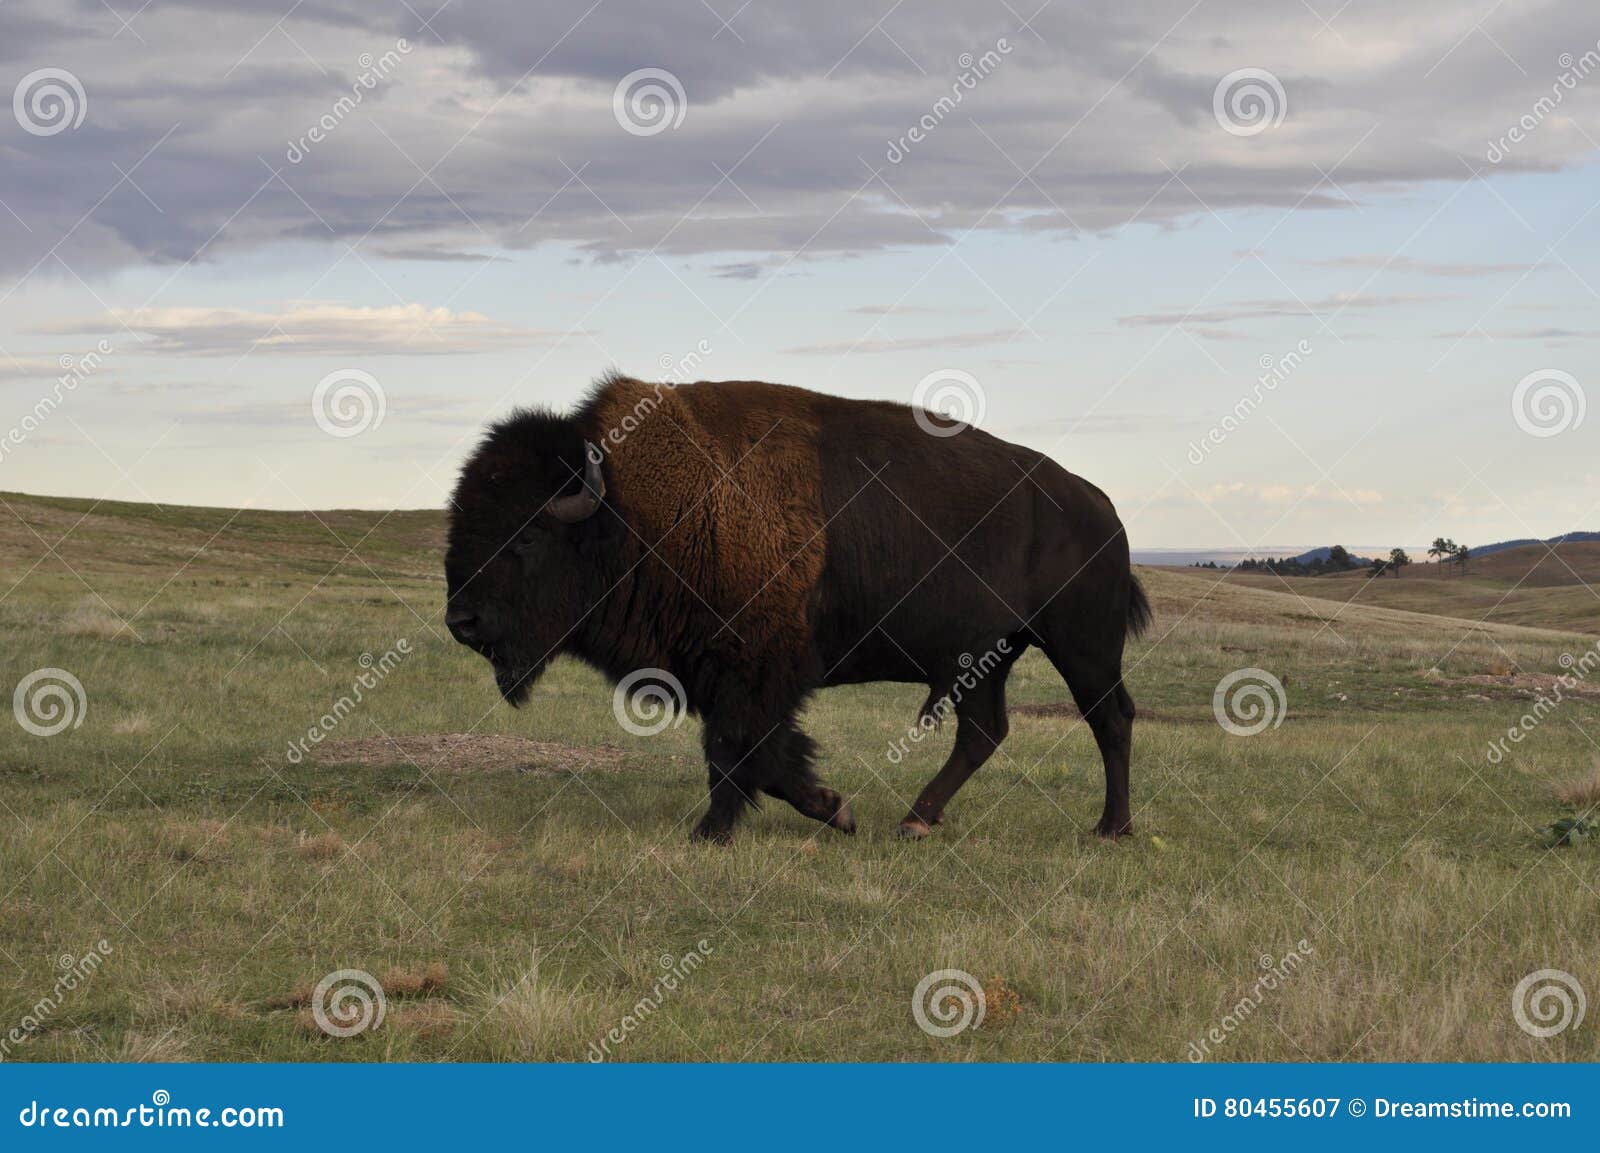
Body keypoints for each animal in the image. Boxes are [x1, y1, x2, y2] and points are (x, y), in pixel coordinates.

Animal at [445, 374, 1149, 843]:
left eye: (527, 535)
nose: (461, 622)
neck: (629, 511)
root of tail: (1101, 509)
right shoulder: (728, 676)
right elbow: (765, 756)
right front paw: (836, 809)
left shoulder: (753, 670)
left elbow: (739, 751)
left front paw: (716, 831)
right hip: (987, 657)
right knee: (984, 732)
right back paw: (915, 822)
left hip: (1080, 646)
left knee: (1110, 719)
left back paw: (1109, 828)